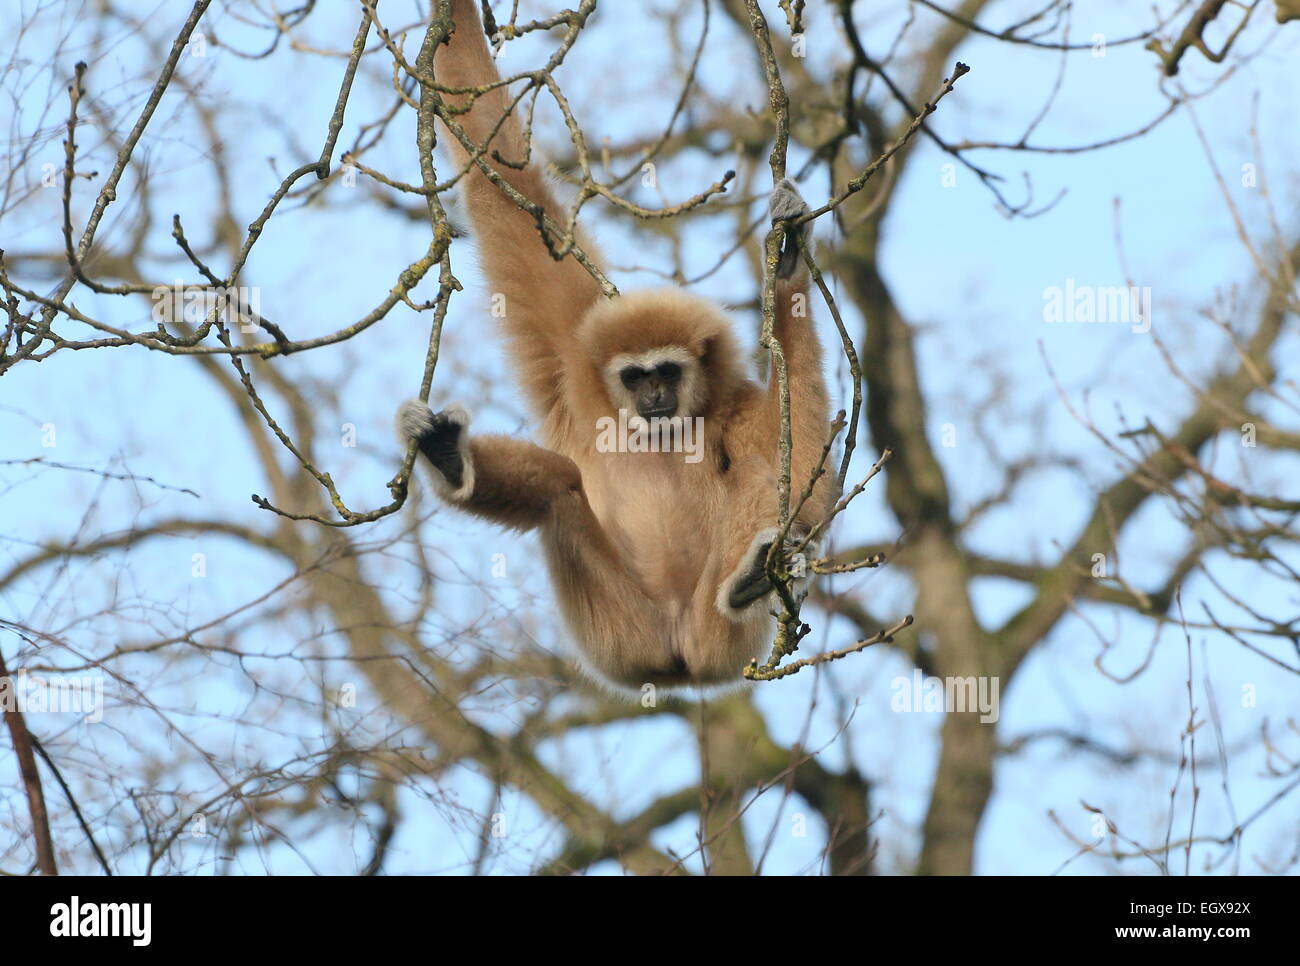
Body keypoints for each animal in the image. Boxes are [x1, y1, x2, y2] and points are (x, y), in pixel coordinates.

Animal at [398, 0, 835, 689]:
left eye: (667, 372)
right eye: (634, 376)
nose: (654, 397)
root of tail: (678, 661)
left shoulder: (734, 404)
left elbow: (808, 489)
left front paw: (789, 261)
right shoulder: (572, 357)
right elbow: (507, 186)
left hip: (711, 645)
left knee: (759, 480)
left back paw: (746, 585)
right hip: (619, 640)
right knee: (560, 485)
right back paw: (448, 458)